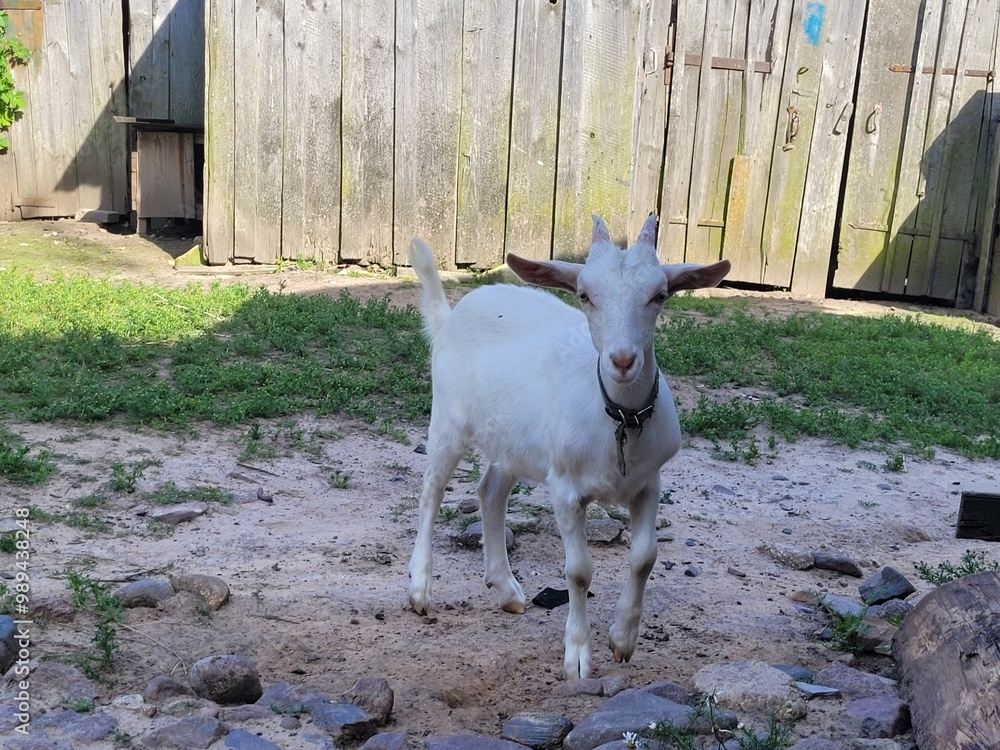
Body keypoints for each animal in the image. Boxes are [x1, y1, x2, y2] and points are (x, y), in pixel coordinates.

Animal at [407, 215, 731, 679]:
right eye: (584, 295)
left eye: (659, 295)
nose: (622, 360)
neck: (619, 419)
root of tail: (452, 314)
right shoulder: (564, 487)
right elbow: (578, 571)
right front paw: (577, 655)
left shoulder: (649, 483)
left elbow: (644, 557)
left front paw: (623, 640)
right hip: (449, 418)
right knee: (431, 492)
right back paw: (420, 590)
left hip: (515, 440)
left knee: (490, 492)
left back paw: (506, 589)